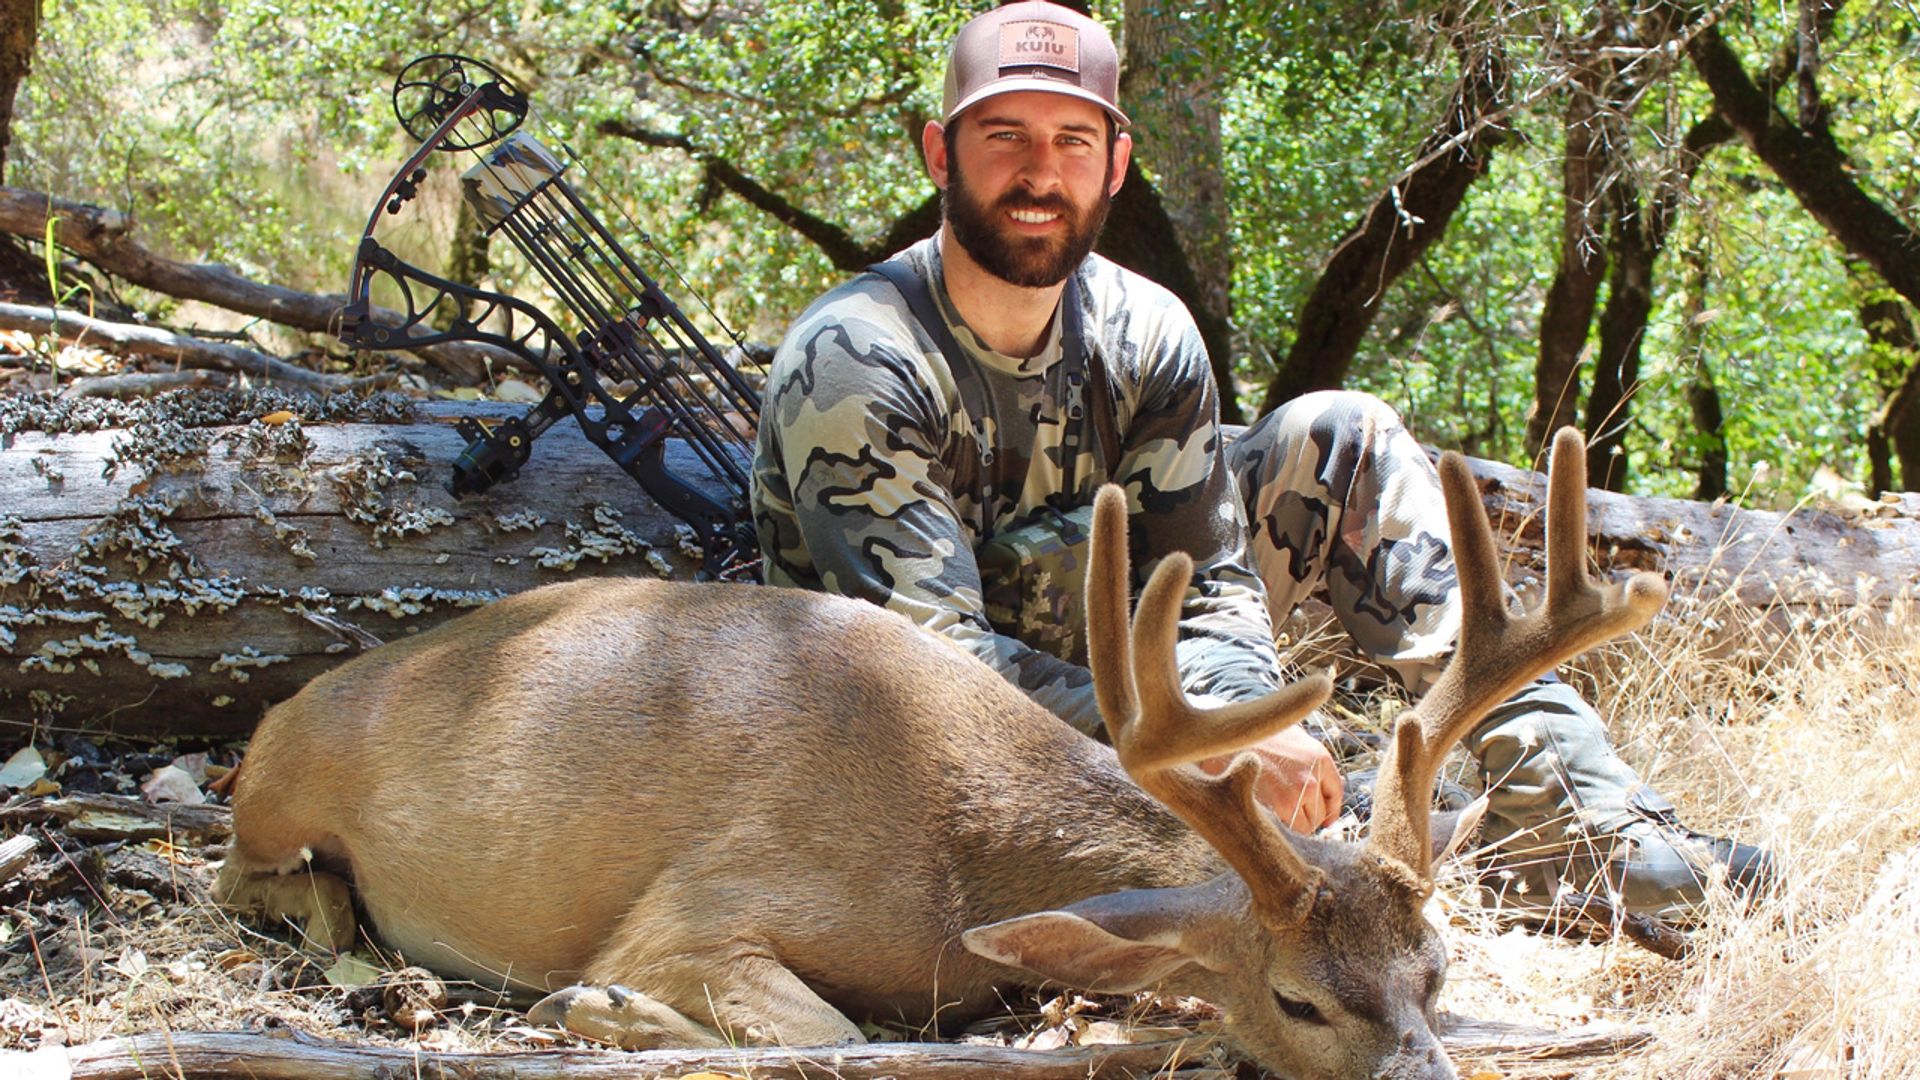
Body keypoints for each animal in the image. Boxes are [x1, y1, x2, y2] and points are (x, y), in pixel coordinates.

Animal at [215, 428, 1666, 1080]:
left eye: (1438, 971)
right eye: (1298, 999)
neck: (960, 861)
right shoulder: (704, 907)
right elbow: (833, 1033)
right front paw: (602, 1009)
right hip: (279, 794)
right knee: (253, 873)